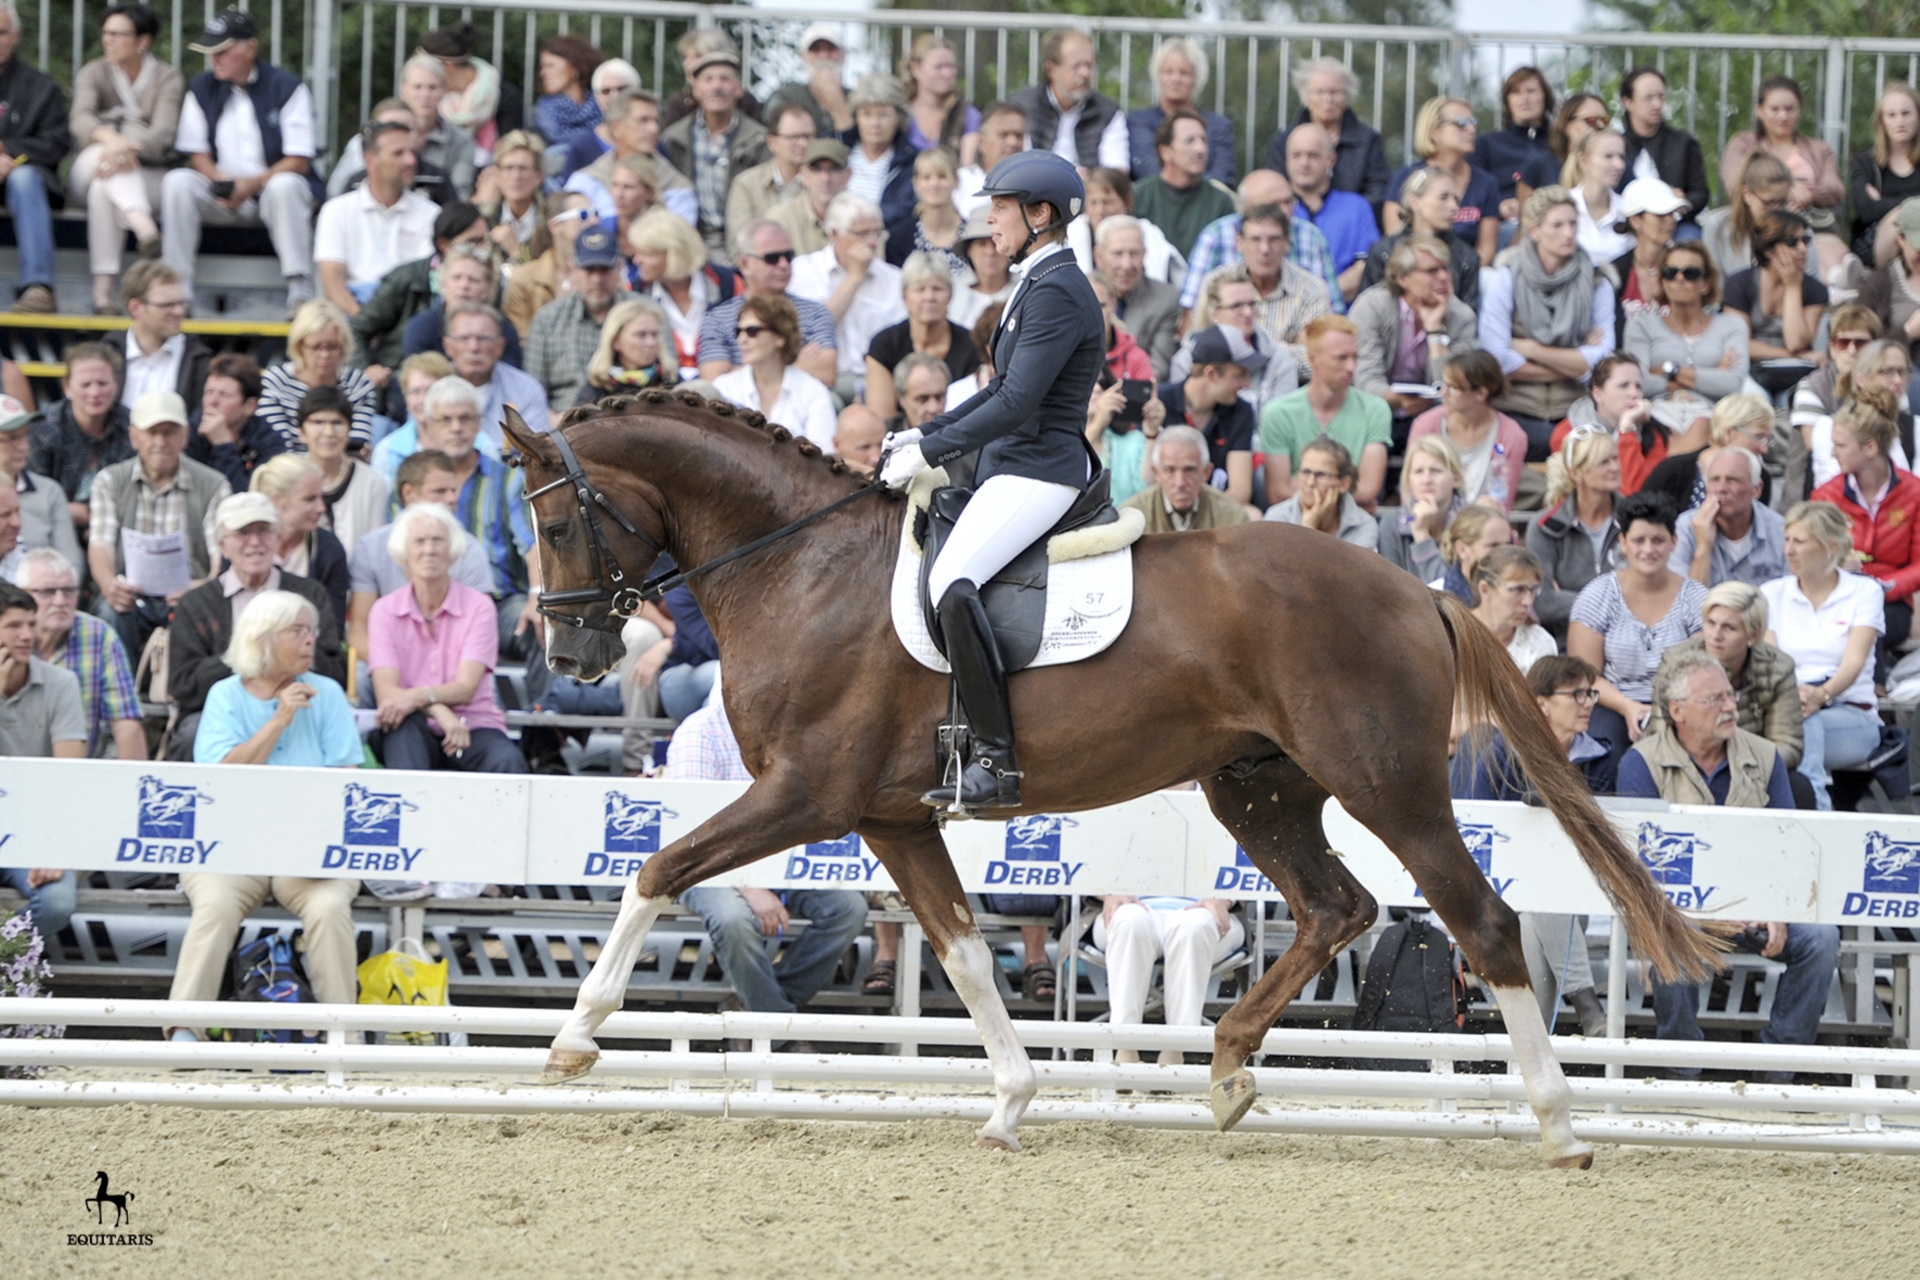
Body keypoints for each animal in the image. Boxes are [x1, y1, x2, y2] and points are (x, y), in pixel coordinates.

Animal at [505, 389, 1718, 1169]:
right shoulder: (893, 818)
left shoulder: (807, 792)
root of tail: (1418, 588)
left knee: (1479, 920)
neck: (802, 565)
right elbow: (962, 953)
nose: (570, 655)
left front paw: (573, 1040)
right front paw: (1009, 1105)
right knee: (1339, 906)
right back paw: (1227, 1072)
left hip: (1388, 787)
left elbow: (657, 869)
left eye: (558, 521)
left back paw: (1559, 1125)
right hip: (1259, 787)